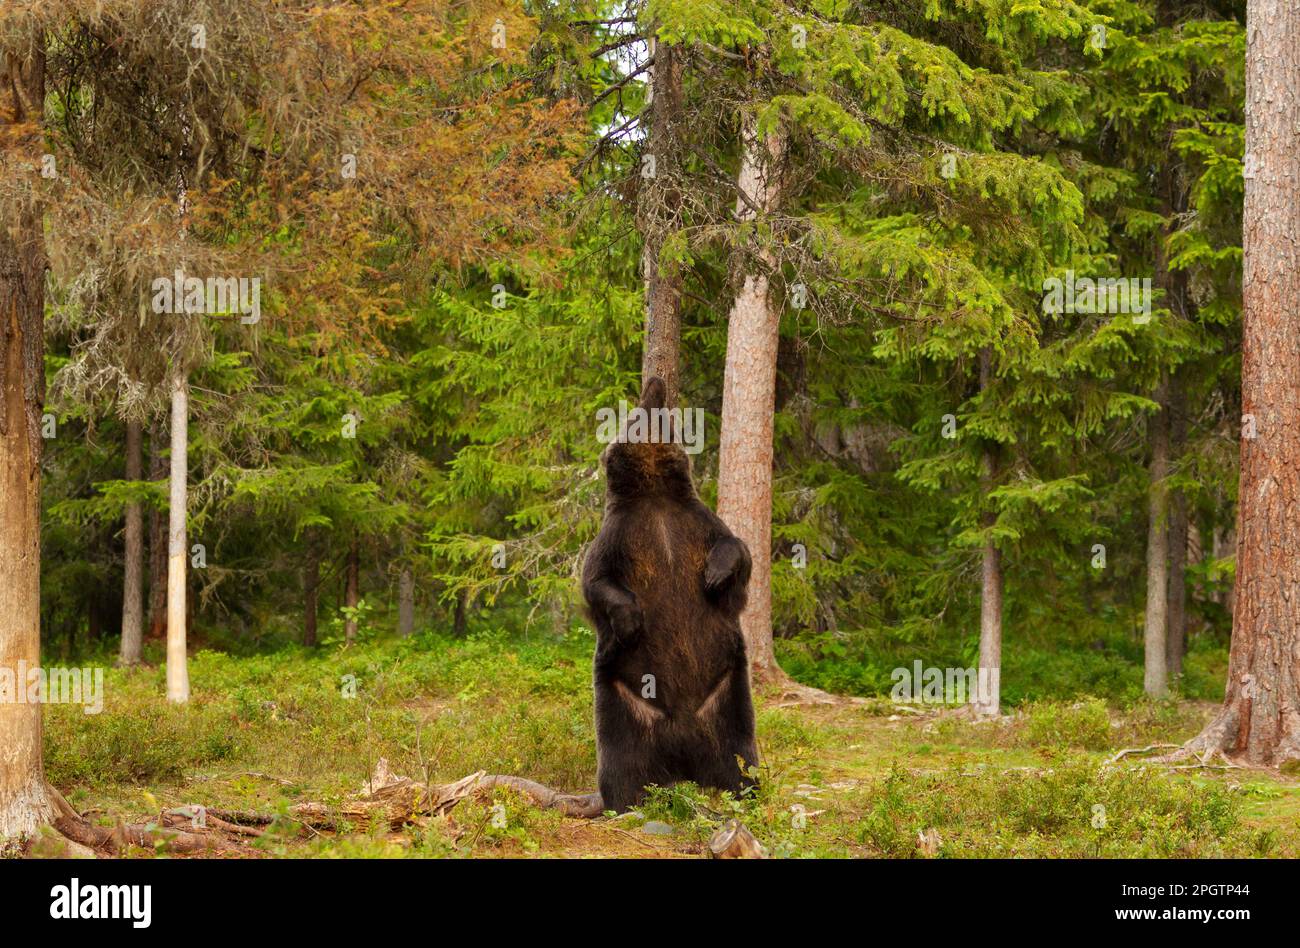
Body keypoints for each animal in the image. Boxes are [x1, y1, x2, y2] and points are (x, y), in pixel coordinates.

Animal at [582, 376, 759, 812]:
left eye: (669, 415)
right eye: (634, 412)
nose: (655, 383)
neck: (655, 492)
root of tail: (681, 752)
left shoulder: (698, 523)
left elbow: (738, 550)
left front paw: (714, 574)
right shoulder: (619, 536)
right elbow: (597, 581)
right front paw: (630, 620)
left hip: (727, 694)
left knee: (739, 752)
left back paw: (747, 788)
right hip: (622, 700)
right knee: (622, 760)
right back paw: (623, 802)